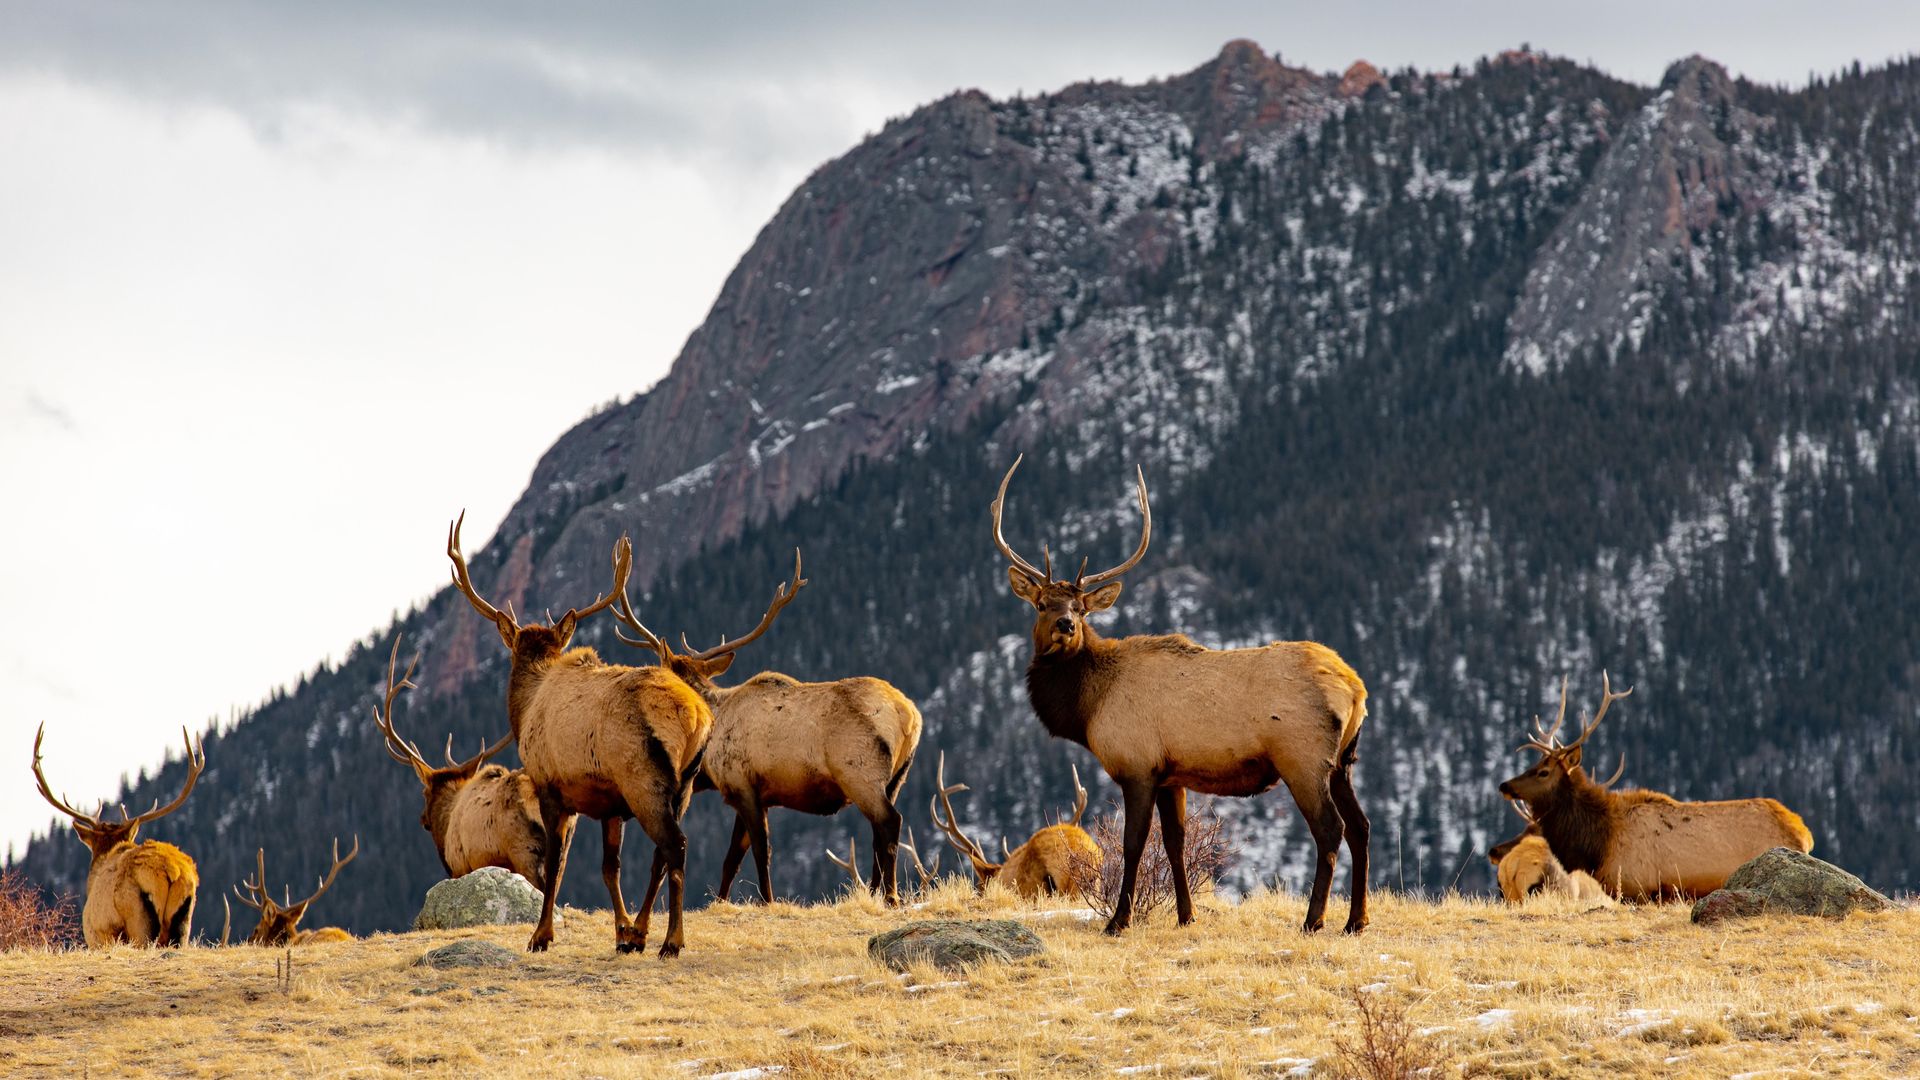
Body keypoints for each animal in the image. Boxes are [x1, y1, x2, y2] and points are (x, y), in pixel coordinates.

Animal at [447, 511, 713, 956]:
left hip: (644, 777)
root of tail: (696, 715)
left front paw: (541, 936)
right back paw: (648, 936)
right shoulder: (608, 804)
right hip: (685, 785)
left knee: (675, 846)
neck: (526, 708)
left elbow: (556, 866)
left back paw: (672, 942)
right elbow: (609, 867)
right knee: (663, 854)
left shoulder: (550, 785)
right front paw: (623, 932)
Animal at [609, 551, 923, 906]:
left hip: (860, 773)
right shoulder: (753, 793)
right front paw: (721, 901)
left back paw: (890, 896)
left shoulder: (743, 785)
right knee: (878, 832)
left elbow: (760, 850)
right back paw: (874, 893)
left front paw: (767, 899)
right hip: (896, 778)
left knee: (890, 822)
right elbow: (732, 858)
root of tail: (908, 715)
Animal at [990, 456, 1370, 936]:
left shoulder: (1137, 766)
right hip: (1343, 761)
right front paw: (1186, 915)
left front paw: (1118, 920)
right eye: (1042, 604)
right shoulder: (1172, 774)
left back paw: (1314, 920)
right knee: (1361, 826)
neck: (1088, 707)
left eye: (1081, 608)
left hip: (1303, 758)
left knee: (1330, 829)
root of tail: (1355, 688)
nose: (1066, 625)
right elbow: (1175, 841)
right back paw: (1356, 920)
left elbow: (1133, 844)